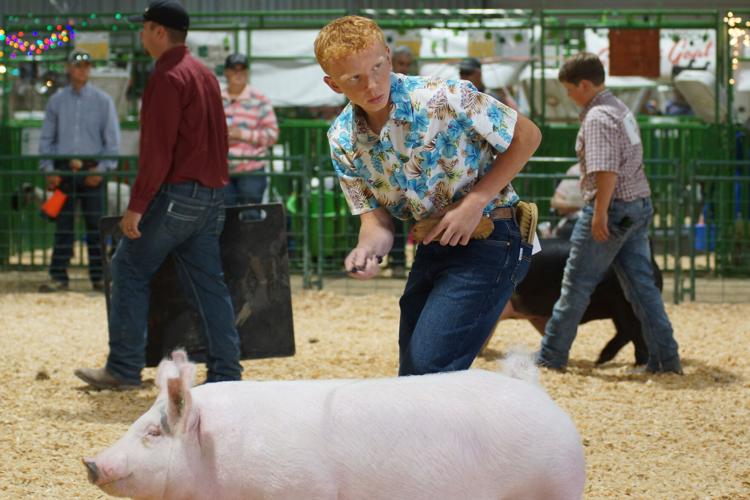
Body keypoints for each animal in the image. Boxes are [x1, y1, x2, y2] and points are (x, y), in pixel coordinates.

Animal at [497, 237, 663, 366]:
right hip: (620, 310)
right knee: (629, 333)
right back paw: (604, 360)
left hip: (624, 307)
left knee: (632, 332)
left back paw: (607, 360)